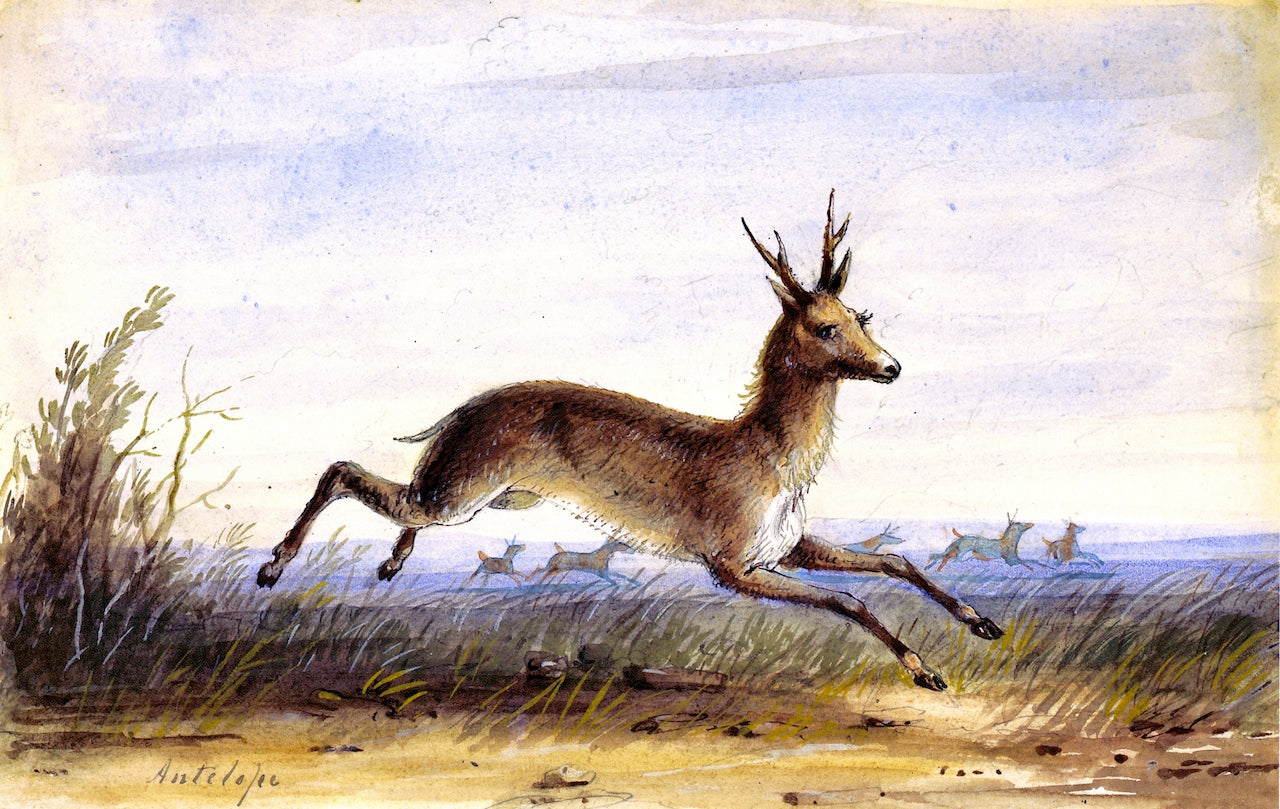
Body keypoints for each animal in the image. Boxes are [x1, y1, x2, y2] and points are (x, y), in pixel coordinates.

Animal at [256, 191, 1005, 690]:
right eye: (824, 326)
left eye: (861, 314)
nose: (891, 367)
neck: (767, 455)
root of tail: (466, 408)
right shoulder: (732, 566)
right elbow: (850, 599)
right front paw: (926, 672)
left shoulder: (788, 546)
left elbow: (895, 561)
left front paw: (982, 624)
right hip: (463, 493)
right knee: (343, 469)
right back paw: (272, 567)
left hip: (489, 497)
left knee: (397, 497)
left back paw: (390, 565)